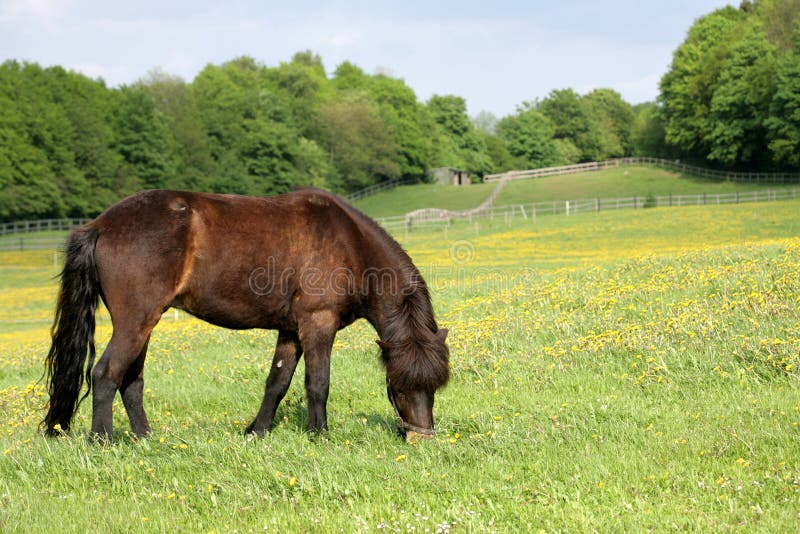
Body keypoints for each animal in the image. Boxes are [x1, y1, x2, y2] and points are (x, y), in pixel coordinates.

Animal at [41, 188, 449, 442]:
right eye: (398, 385)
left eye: (434, 386)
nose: (422, 439)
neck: (349, 244)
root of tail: (99, 225)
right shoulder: (318, 323)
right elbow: (318, 383)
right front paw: (319, 435)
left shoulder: (291, 330)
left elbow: (277, 383)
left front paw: (257, 431)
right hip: (134, 322)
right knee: (105, 374)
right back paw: (101, 441)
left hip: (144, 323)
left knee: (131, 381)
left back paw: (145, 439)